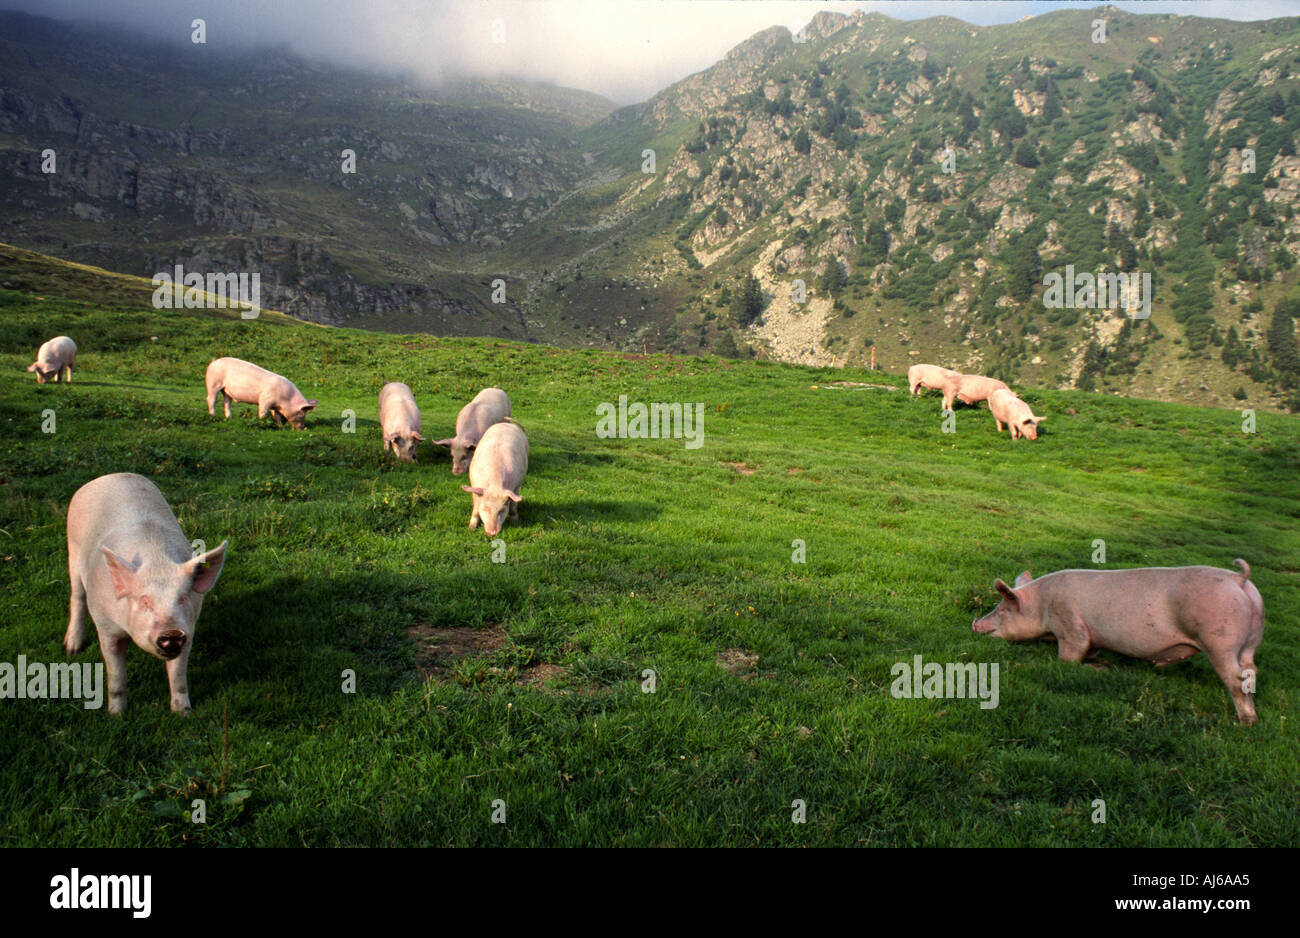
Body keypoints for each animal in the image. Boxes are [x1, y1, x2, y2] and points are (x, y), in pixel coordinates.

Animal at [64, 472, 228, 715]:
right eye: (145, 601)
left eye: (182, 598)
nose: (171, 632)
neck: (156, 562)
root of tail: (112, 476)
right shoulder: (106, 628)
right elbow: (116, 675)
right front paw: (116, 715)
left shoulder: (189, 629)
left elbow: (178, 675)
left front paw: (183, 713)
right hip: (73, 552)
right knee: (77, 597)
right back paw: (72, 649)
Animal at [972, 560, 1265, 724]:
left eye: (1002, 610)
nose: (975, 624)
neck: (1042, 605)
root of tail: (1238, 579)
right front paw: (1101, 662)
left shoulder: (1069, 623)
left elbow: (1072, 653)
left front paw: (1094, 667)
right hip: (1252, 640)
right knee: (1251, 670)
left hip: (1219, 640)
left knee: (1235, 677)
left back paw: (1245, 722)